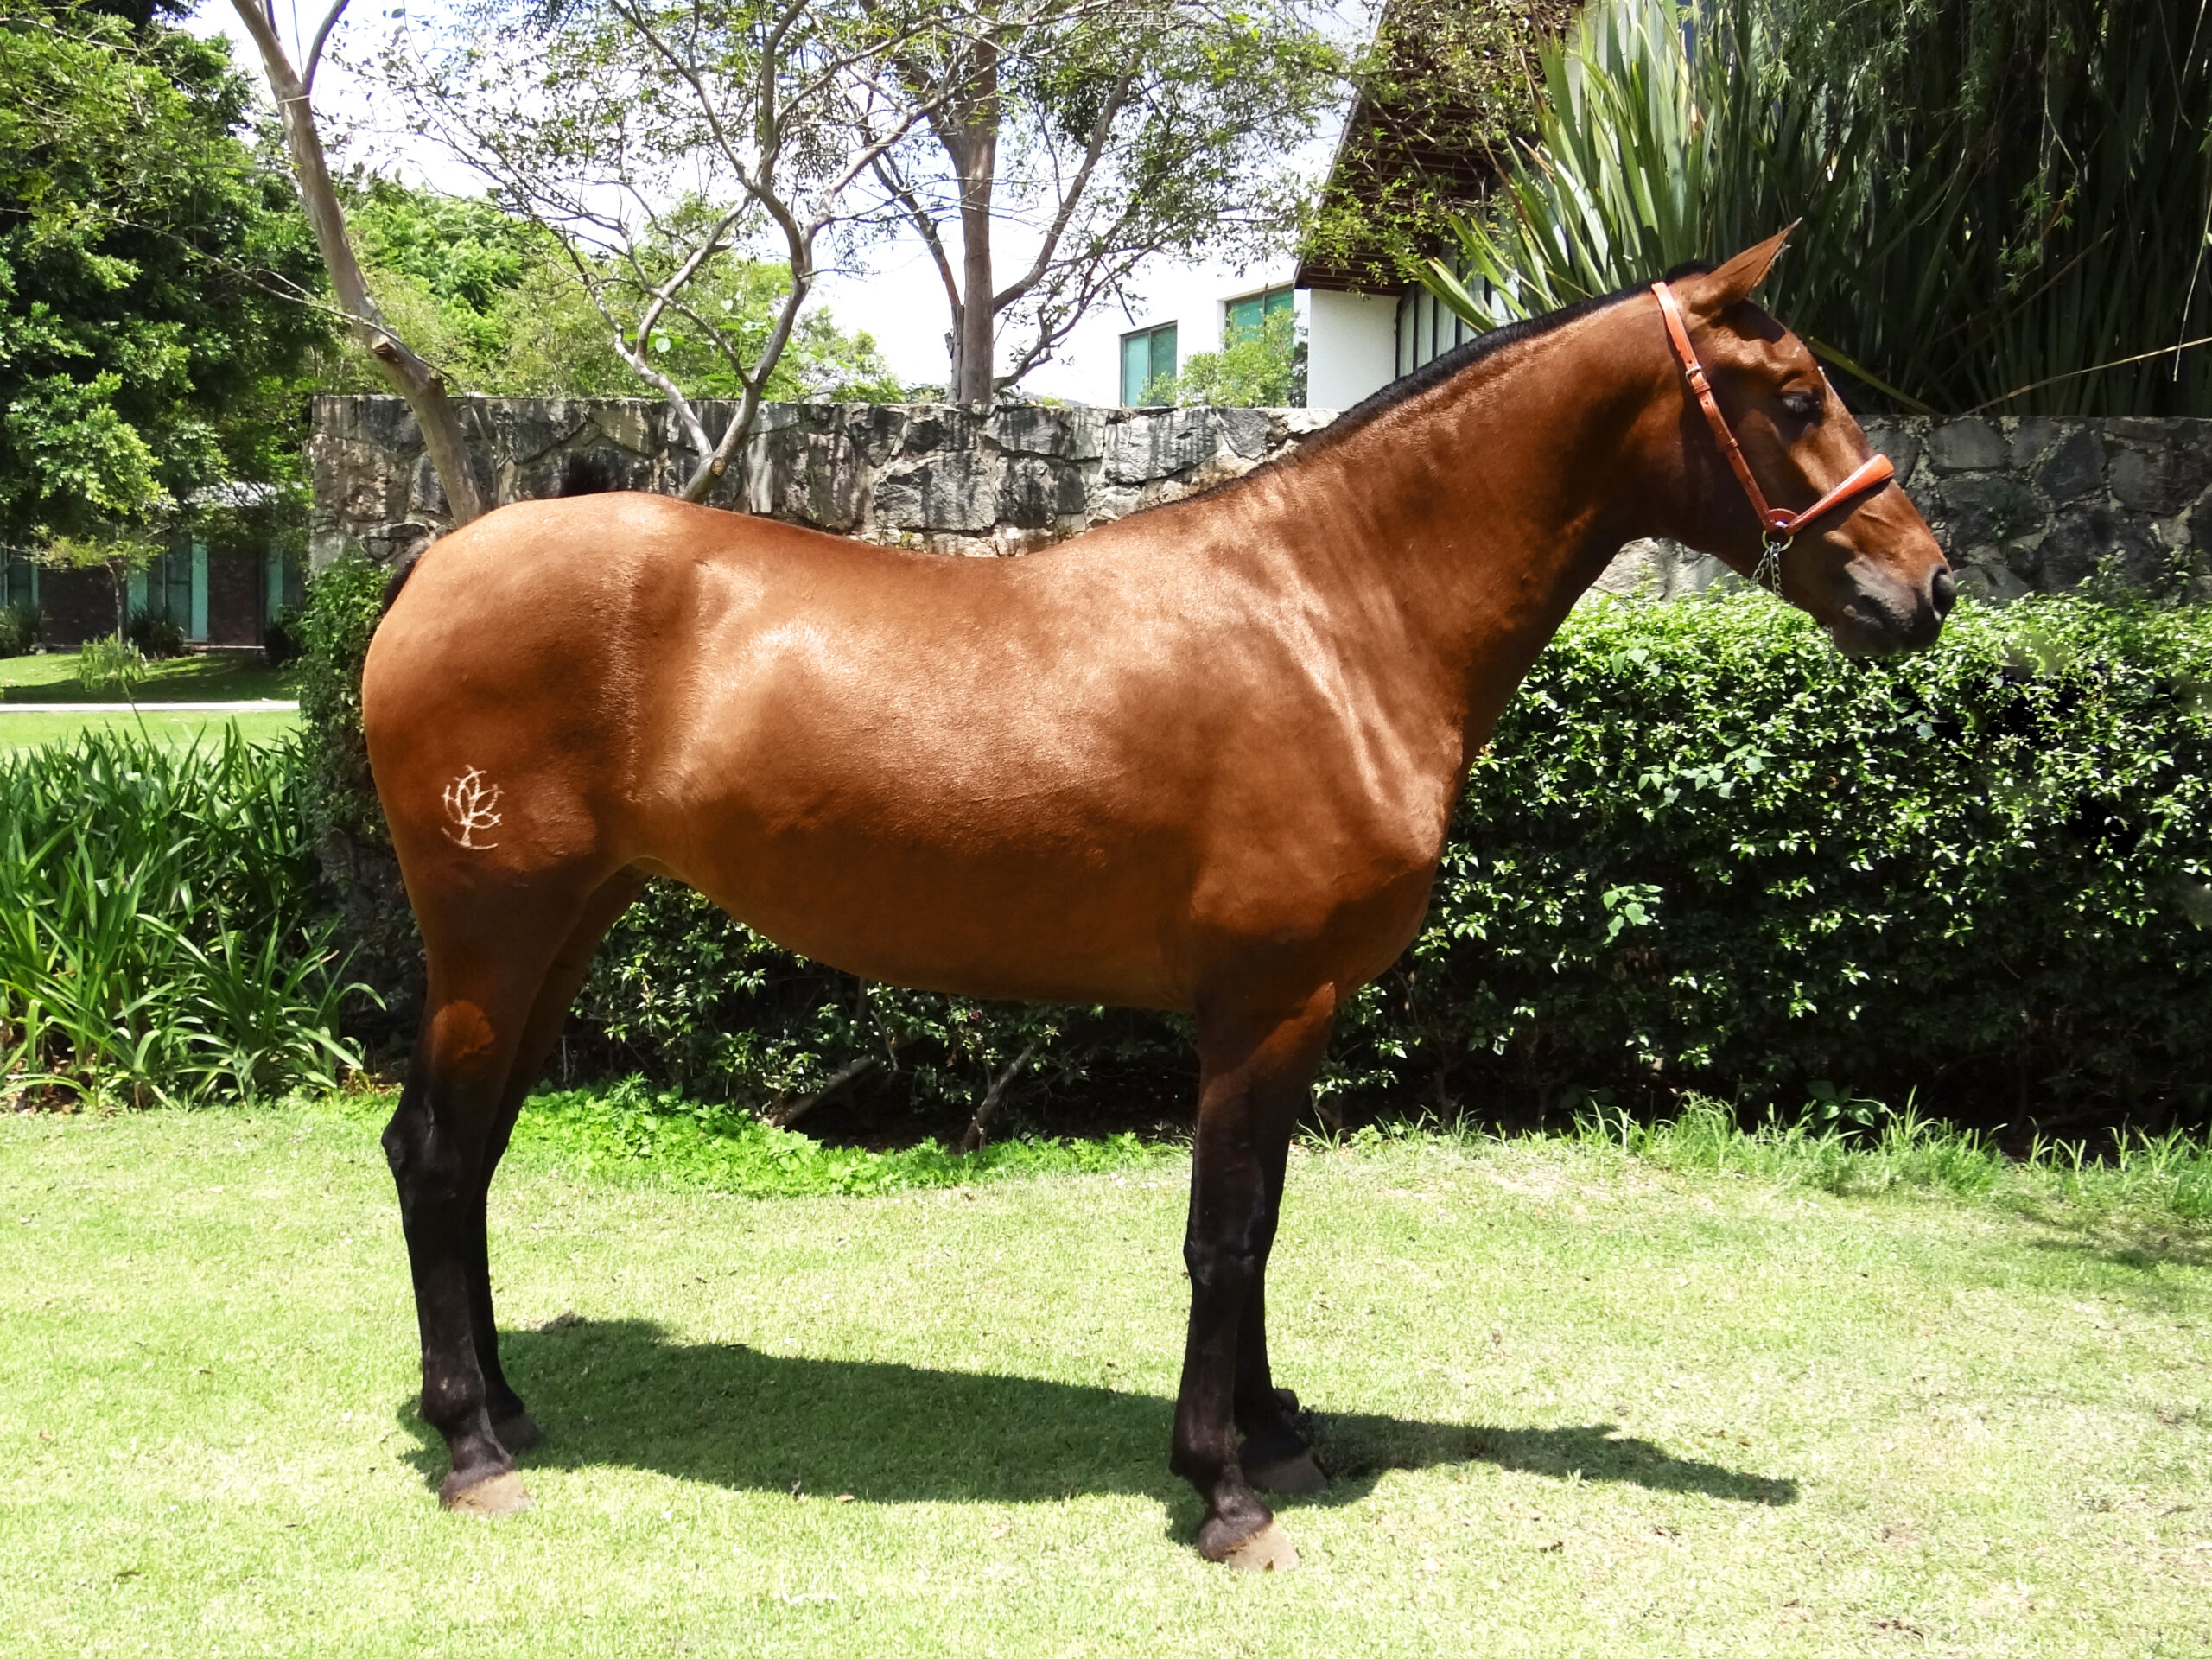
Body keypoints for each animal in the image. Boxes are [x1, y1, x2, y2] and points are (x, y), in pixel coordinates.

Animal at [361, 232, 1951, 1569]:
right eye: (1796, 394)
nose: (1928, 590)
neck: (1330, 617)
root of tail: (435, 570)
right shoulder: (1264, 1001)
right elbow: (1225, 1234)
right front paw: (1224, 1486)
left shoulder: (1293, 1012)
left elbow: (1264, 1227)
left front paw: (1277, 1429)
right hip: (494, 936)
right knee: (434, 1155)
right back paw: (471, 1445)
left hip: (565, 931)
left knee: (474, 1153)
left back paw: (508, 1405)